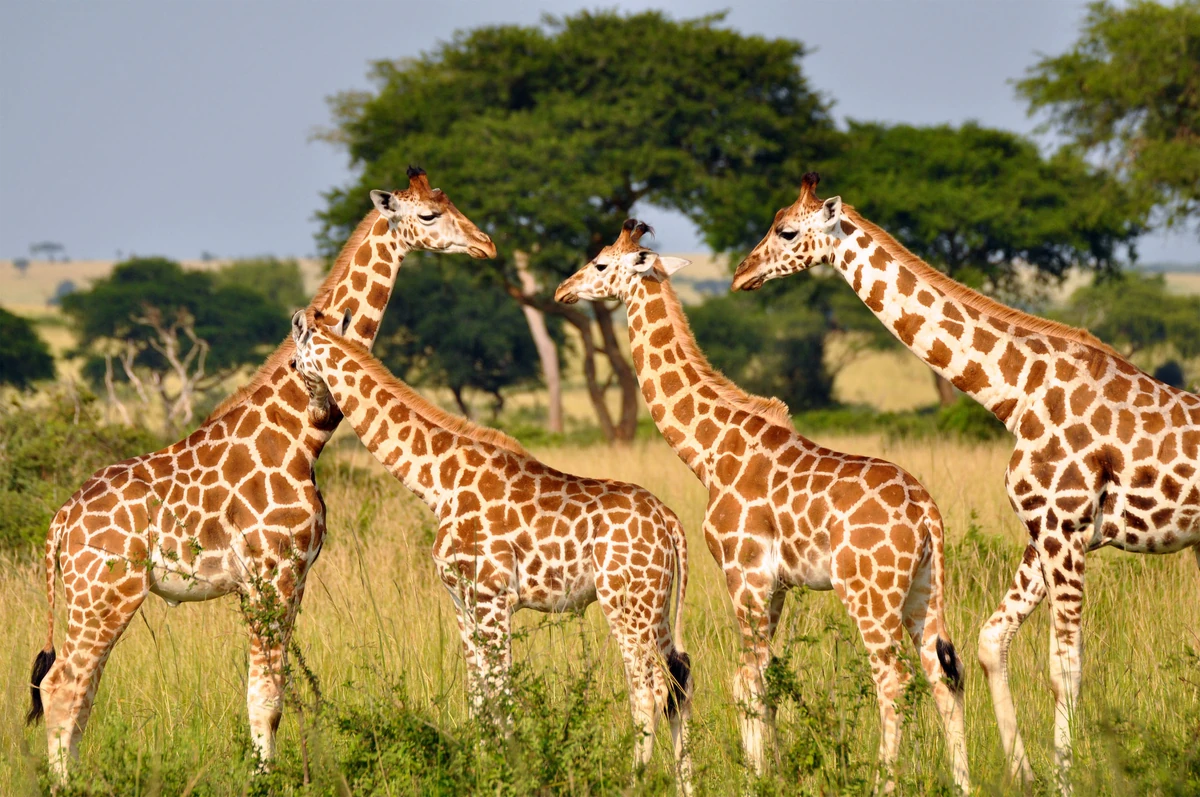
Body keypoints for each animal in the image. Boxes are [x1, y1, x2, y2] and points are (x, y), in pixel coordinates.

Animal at [25, 167, 496, 782]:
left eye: (450, 200)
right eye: (428, 215)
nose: (486, 245)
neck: (301, 433)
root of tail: (60, 521)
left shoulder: (289, 577)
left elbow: (270, 690)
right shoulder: (273, 572)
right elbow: (266, 696)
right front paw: (261, 780)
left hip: (96, 594)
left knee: (81, 686)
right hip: (105, 590)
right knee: (63, 684)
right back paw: (65, 784)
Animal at [288, 308, 695, 792]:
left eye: (294, 362)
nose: (317, 413)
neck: (436, 482)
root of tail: (669, 520)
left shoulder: (492, 596)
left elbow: (501, 692)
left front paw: (509, 773)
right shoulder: (461, 600)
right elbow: (477, 693)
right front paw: (483, 768)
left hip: (625, 604)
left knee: (648, 688)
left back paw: (635, 779)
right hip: (656, 605)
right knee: (679, 679)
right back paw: (686, 784)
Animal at [555, 219, 970, 792]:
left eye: (599, 263)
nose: (561, 291)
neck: (708, 449)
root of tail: (928, 513)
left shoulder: (743, 572)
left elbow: (746, 677)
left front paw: (757, 777)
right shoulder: (775, 585)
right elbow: (765, 675)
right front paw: (771, 770)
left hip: (870, 593)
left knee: (894, 679)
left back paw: (882, 781)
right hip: (923, 591)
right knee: (942, 676)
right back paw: (965, 782)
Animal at [732, 172, 1200, 791]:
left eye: (786, 230)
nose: (740, 273)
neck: (1015, 393)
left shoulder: (1065, 527)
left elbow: (1064, 667)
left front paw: (1064, 780)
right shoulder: (1051, 531)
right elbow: (988, 642)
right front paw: (1023, 774)